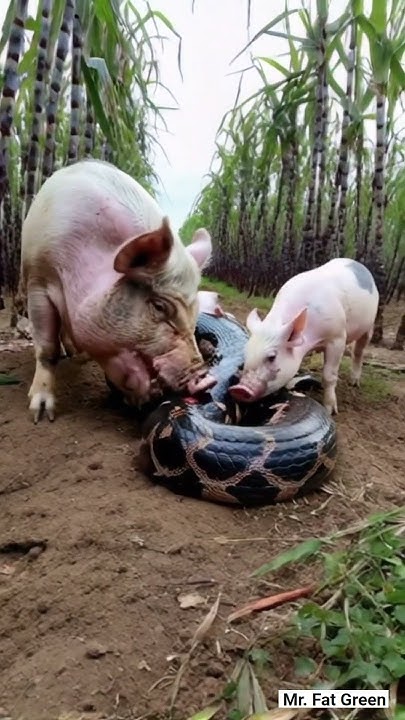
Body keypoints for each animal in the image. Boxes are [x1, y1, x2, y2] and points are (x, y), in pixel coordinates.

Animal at [20, 158, 216, 423]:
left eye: (196, 315)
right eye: (159, 307)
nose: (208, 379)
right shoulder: (38, 277)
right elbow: (46, 348)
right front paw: (42, 415)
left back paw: (76, 354)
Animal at [229, 258, 379, 414]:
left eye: (272, 357)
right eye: (246, 355)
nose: (238, 389)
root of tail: (354, 262)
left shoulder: (337, 338)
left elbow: (329, 375)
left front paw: (331, 411)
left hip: (370, 324)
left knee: (359, 351)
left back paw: (354, 383)